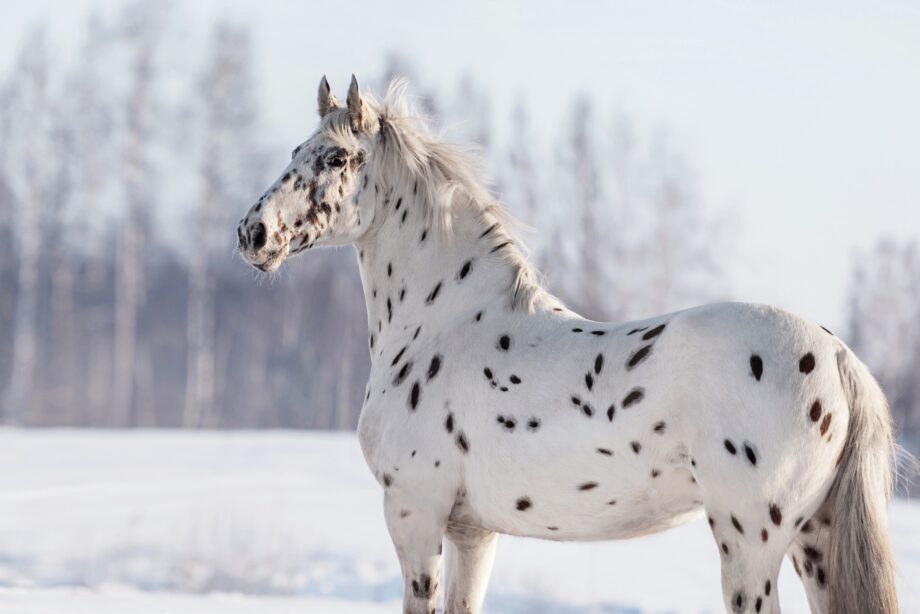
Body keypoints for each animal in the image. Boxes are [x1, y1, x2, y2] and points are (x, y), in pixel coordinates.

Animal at [236, 76, 899, 614]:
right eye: (296, 151)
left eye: (336, 156)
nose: (252, 232)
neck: (443, 321)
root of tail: (838, 360)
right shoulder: (472, 532)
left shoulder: (414, 514)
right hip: (814, 540)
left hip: (752, 542)